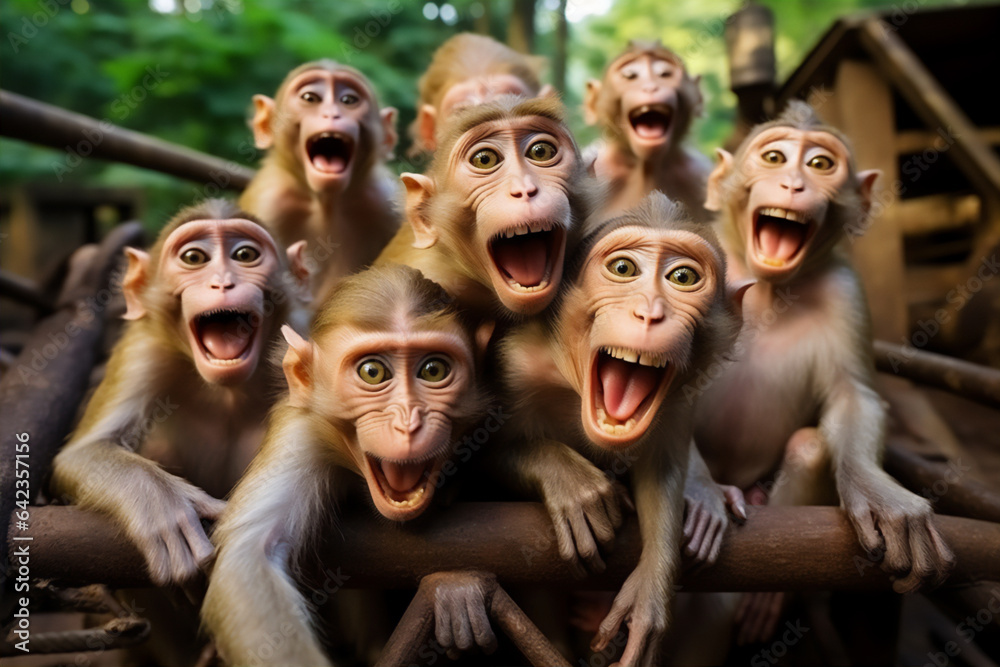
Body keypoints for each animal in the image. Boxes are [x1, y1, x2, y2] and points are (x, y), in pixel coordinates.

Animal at [202, 264, 492, 666]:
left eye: (433, 370)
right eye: (372, 372)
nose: (408, 422)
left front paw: (457, 587)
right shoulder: (301, 435)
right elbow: (249, 557)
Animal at [239, 59, 400, 301]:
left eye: (348, 100)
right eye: (310, 98)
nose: (332, 114)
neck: (326, 202)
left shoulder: (386, 201)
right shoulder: (269, 204)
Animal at [494, 192, 747, 666]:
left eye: (683, 277)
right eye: (624, 269)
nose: (649, 313)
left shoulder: (685, 393)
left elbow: (663, 466)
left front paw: (651, 593)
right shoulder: (514, 360)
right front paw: (572, 483)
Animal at [693, 100, 955, 643]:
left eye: (819, 164)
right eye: (774, 157)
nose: (794, 182)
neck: (766, 288)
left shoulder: (845, 289)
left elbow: (854, 395)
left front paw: (880, 495)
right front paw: (698, 490)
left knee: (810, 445)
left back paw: (764, 595)